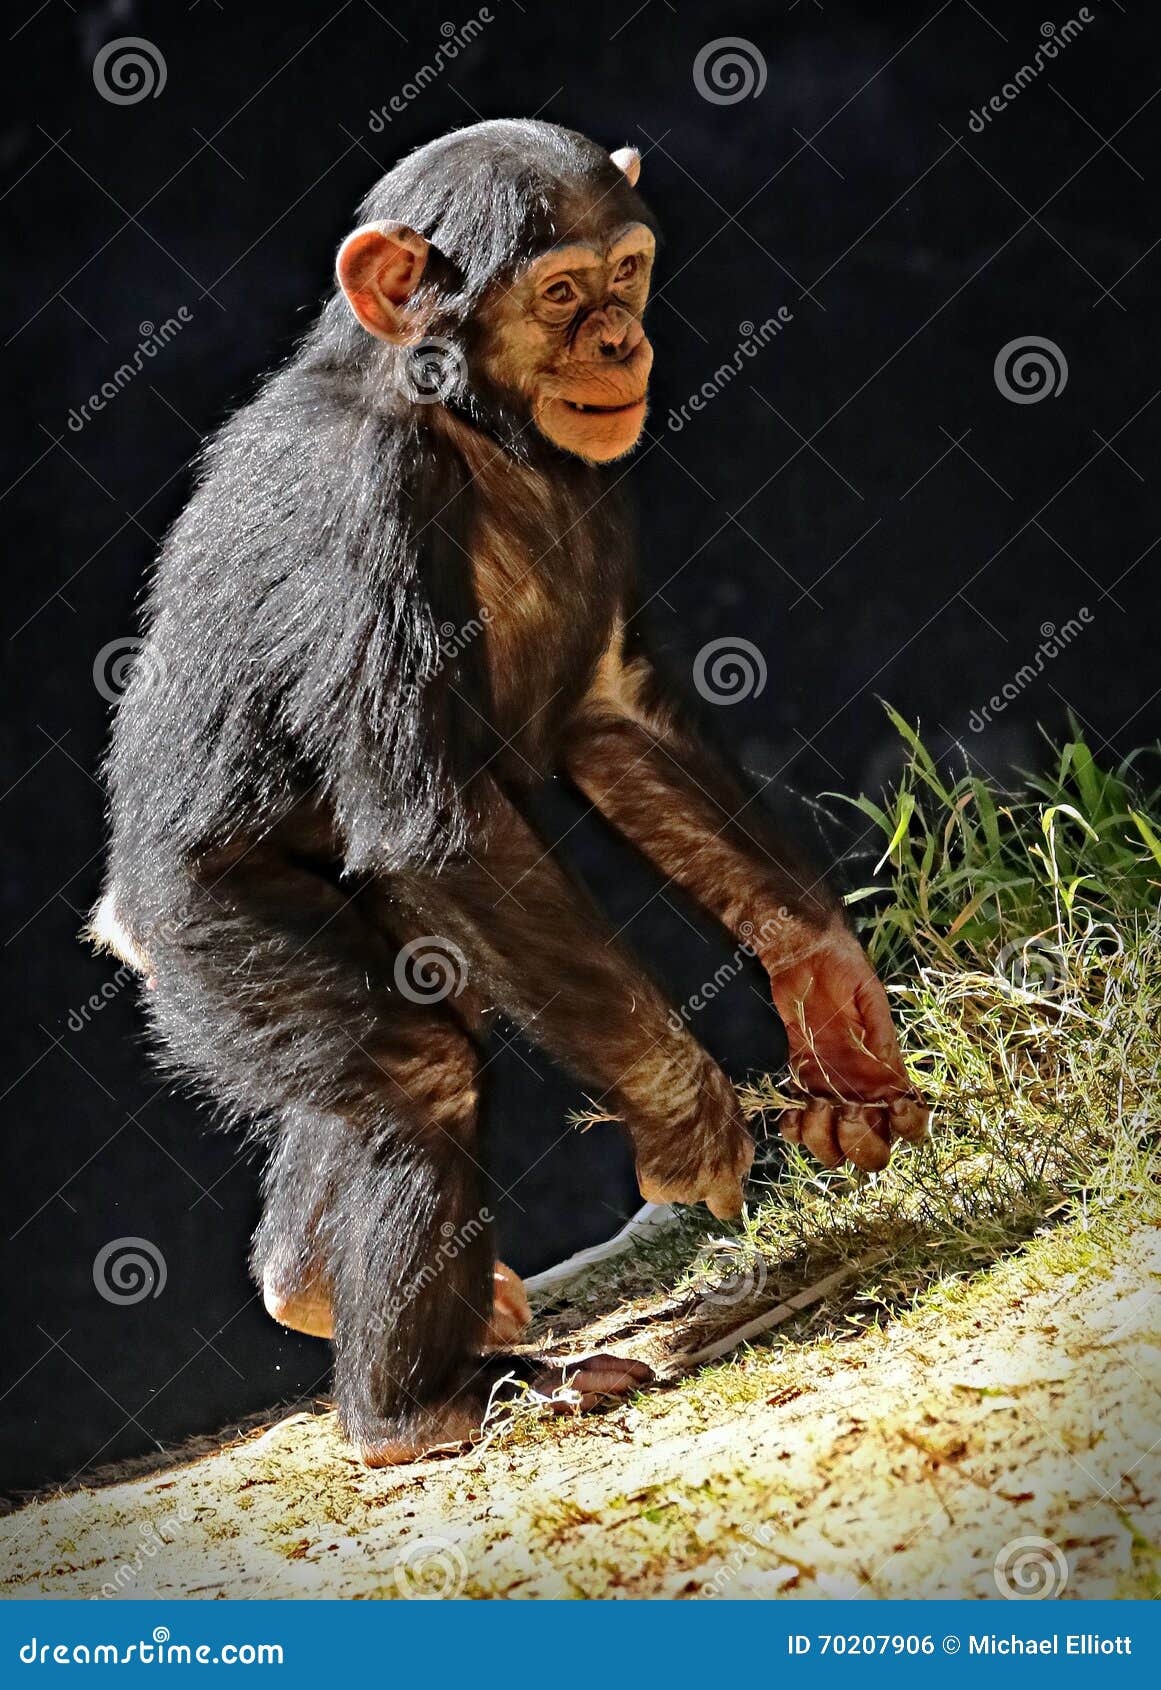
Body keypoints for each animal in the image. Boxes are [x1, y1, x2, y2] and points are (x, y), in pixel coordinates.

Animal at [91, 120, 928, 1467]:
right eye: (561, 295)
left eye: (629, 272)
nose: (621, 341)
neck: (463, 420)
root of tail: (127, 922)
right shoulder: (365, 508)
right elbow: (431, 821)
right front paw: (684, 1110)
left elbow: (610, 712)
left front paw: (830, 994)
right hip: (217, 931)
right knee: (422, 1066)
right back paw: (417, 1409)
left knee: (426, 1031)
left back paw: (306, 1284)